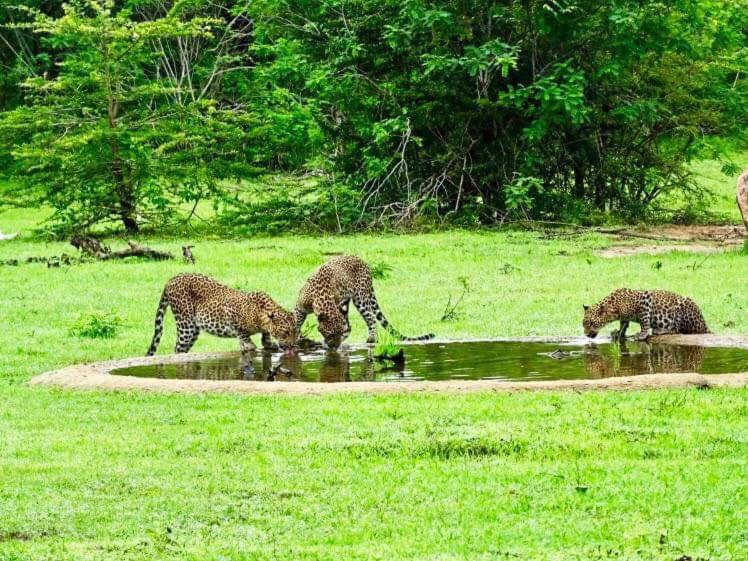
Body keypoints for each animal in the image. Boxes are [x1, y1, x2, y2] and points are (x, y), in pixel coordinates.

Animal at [146, 273, 297, 355]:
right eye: (285, 332)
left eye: (296, 332)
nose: (293, 346)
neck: (259, 315)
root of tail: (171, 279)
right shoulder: (231, 313)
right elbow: (243, 335)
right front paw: (251, 346)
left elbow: (264, 336)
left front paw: (268, 343)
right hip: (185, 325)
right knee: (178, 349)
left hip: (194, 330)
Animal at [295, 255, 434, 350]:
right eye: (330, 334)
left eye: (337, 333)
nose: (335, 347)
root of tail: (363, 262)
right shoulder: (300, 307)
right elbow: (296, 323)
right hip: (346, 303)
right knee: (350, 324)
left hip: (361, 298)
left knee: (369, 319)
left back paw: (371, 339)